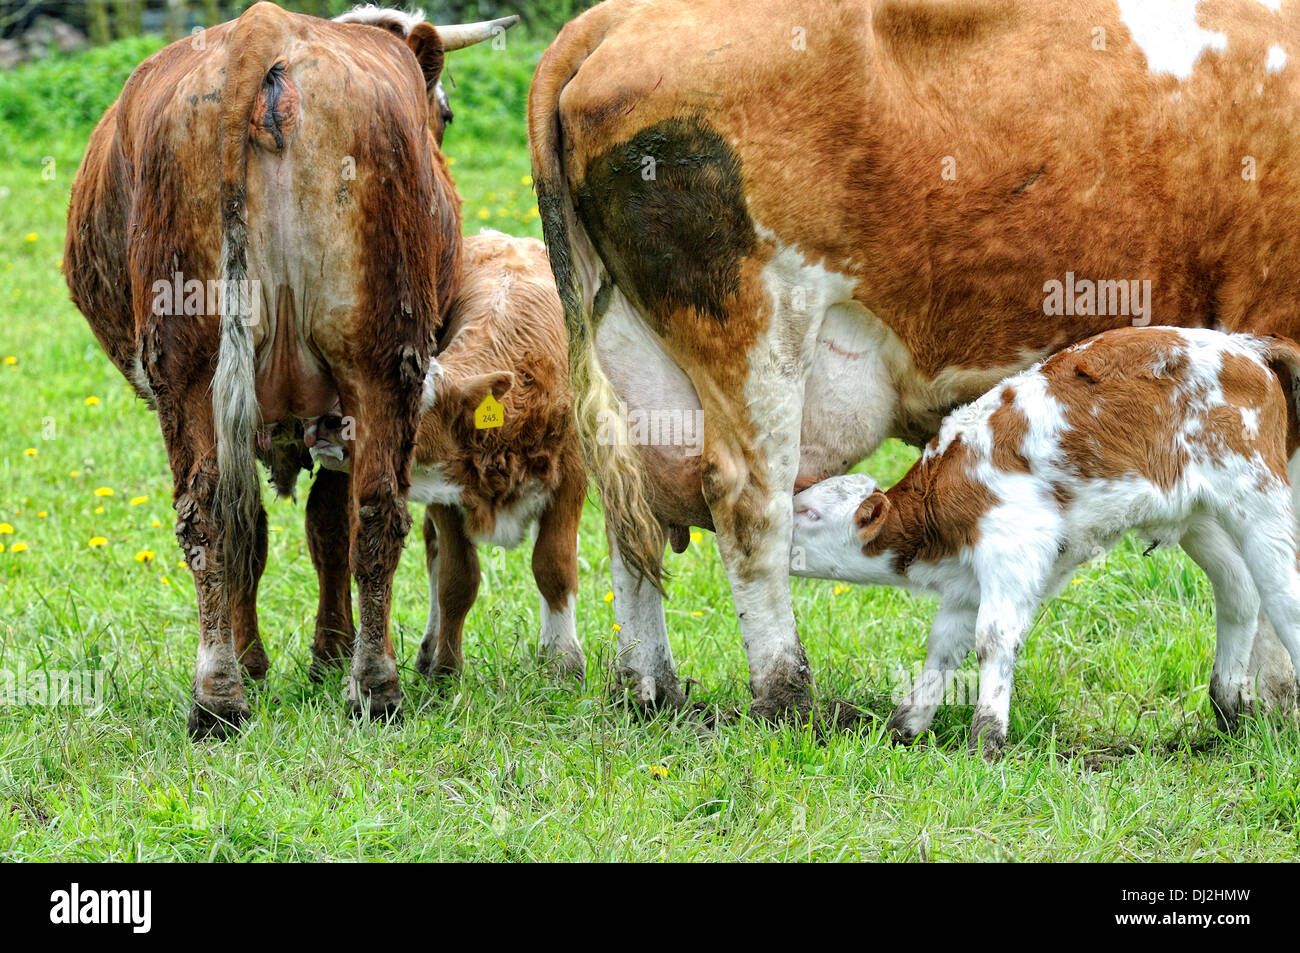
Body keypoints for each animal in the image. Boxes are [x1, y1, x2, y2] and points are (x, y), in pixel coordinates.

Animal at [64, 2, 512, 737]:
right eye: (443, 115)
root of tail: (261, 29)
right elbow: (326, 525)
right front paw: (328, 652)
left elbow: (280, 527)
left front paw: (278, 658)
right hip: (377, 363)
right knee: (368, 512)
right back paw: (367, 685)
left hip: (194, 372)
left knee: (213, 516)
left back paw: (221, 694)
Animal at [308, 229, 587, 681]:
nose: (326, 422)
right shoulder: (446, 493)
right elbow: (456, 580)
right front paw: (445, 670)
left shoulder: (570, 479)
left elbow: (554, 568)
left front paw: (563, 664)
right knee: (435, 556)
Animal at [790, 327, 1300, 754]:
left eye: (809, 513)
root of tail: (1247, 347)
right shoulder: (965, 584)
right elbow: (944, 645)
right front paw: (905, 727)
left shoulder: (1011, 549)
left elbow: (992, 639)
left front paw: (985, 742)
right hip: (1197, 514)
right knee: (1239, 589)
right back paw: (1229, 712)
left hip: (1257, 494)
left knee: (1283, 595)